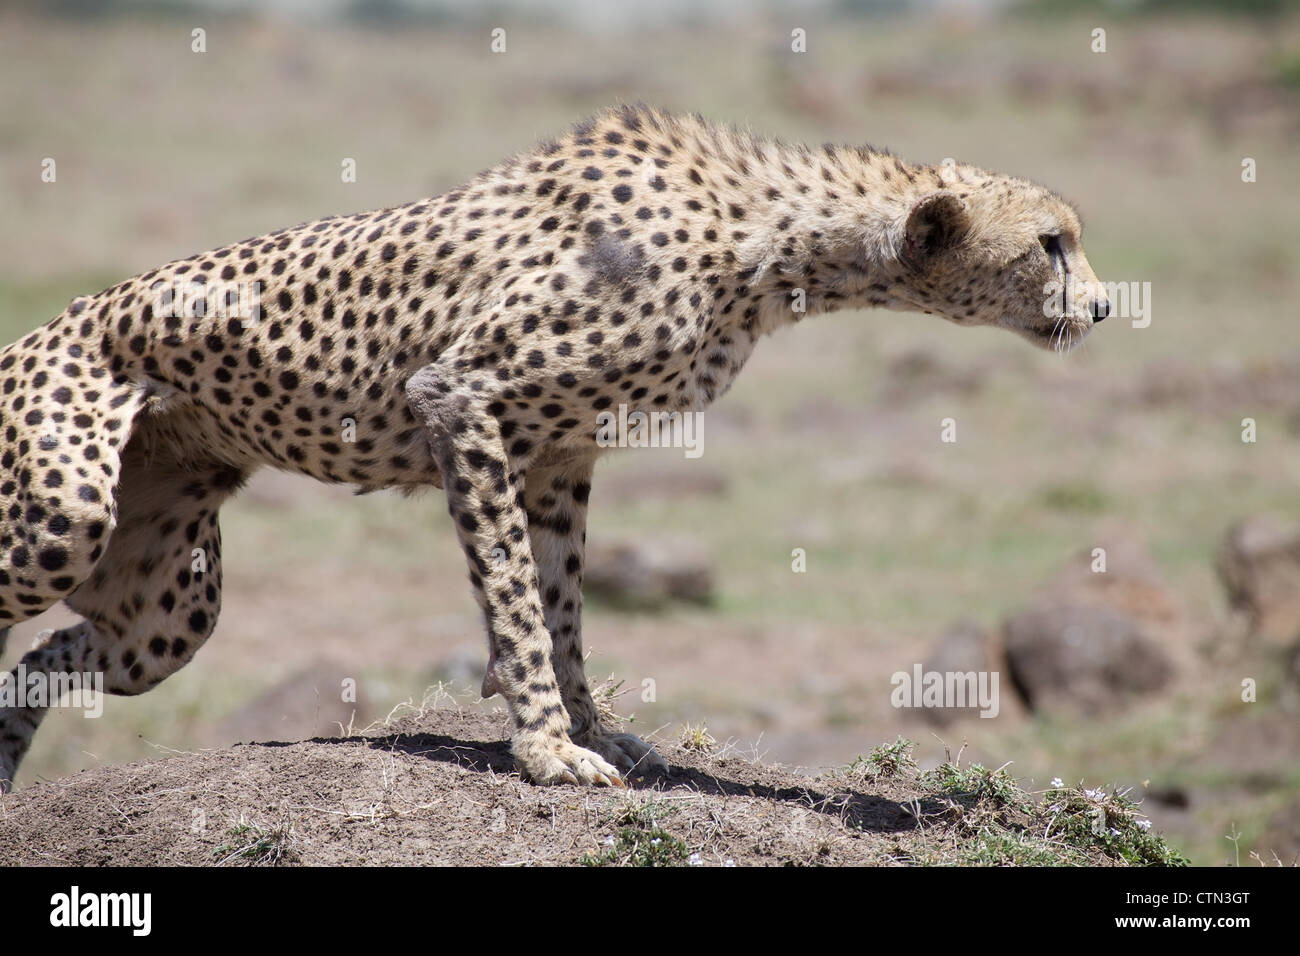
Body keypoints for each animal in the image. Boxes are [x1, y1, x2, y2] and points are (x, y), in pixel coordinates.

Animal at [0, 105, 1107, 791]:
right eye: (1049, 242)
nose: (1101, 307)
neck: (765, 244)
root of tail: (46, 327)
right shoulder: (461, 397)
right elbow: (516, 601)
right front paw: (544, 747)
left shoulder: (563, 456)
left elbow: (563, 600)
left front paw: (592, 728)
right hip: (61, 520)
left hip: (168, 604)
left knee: (44, 659)